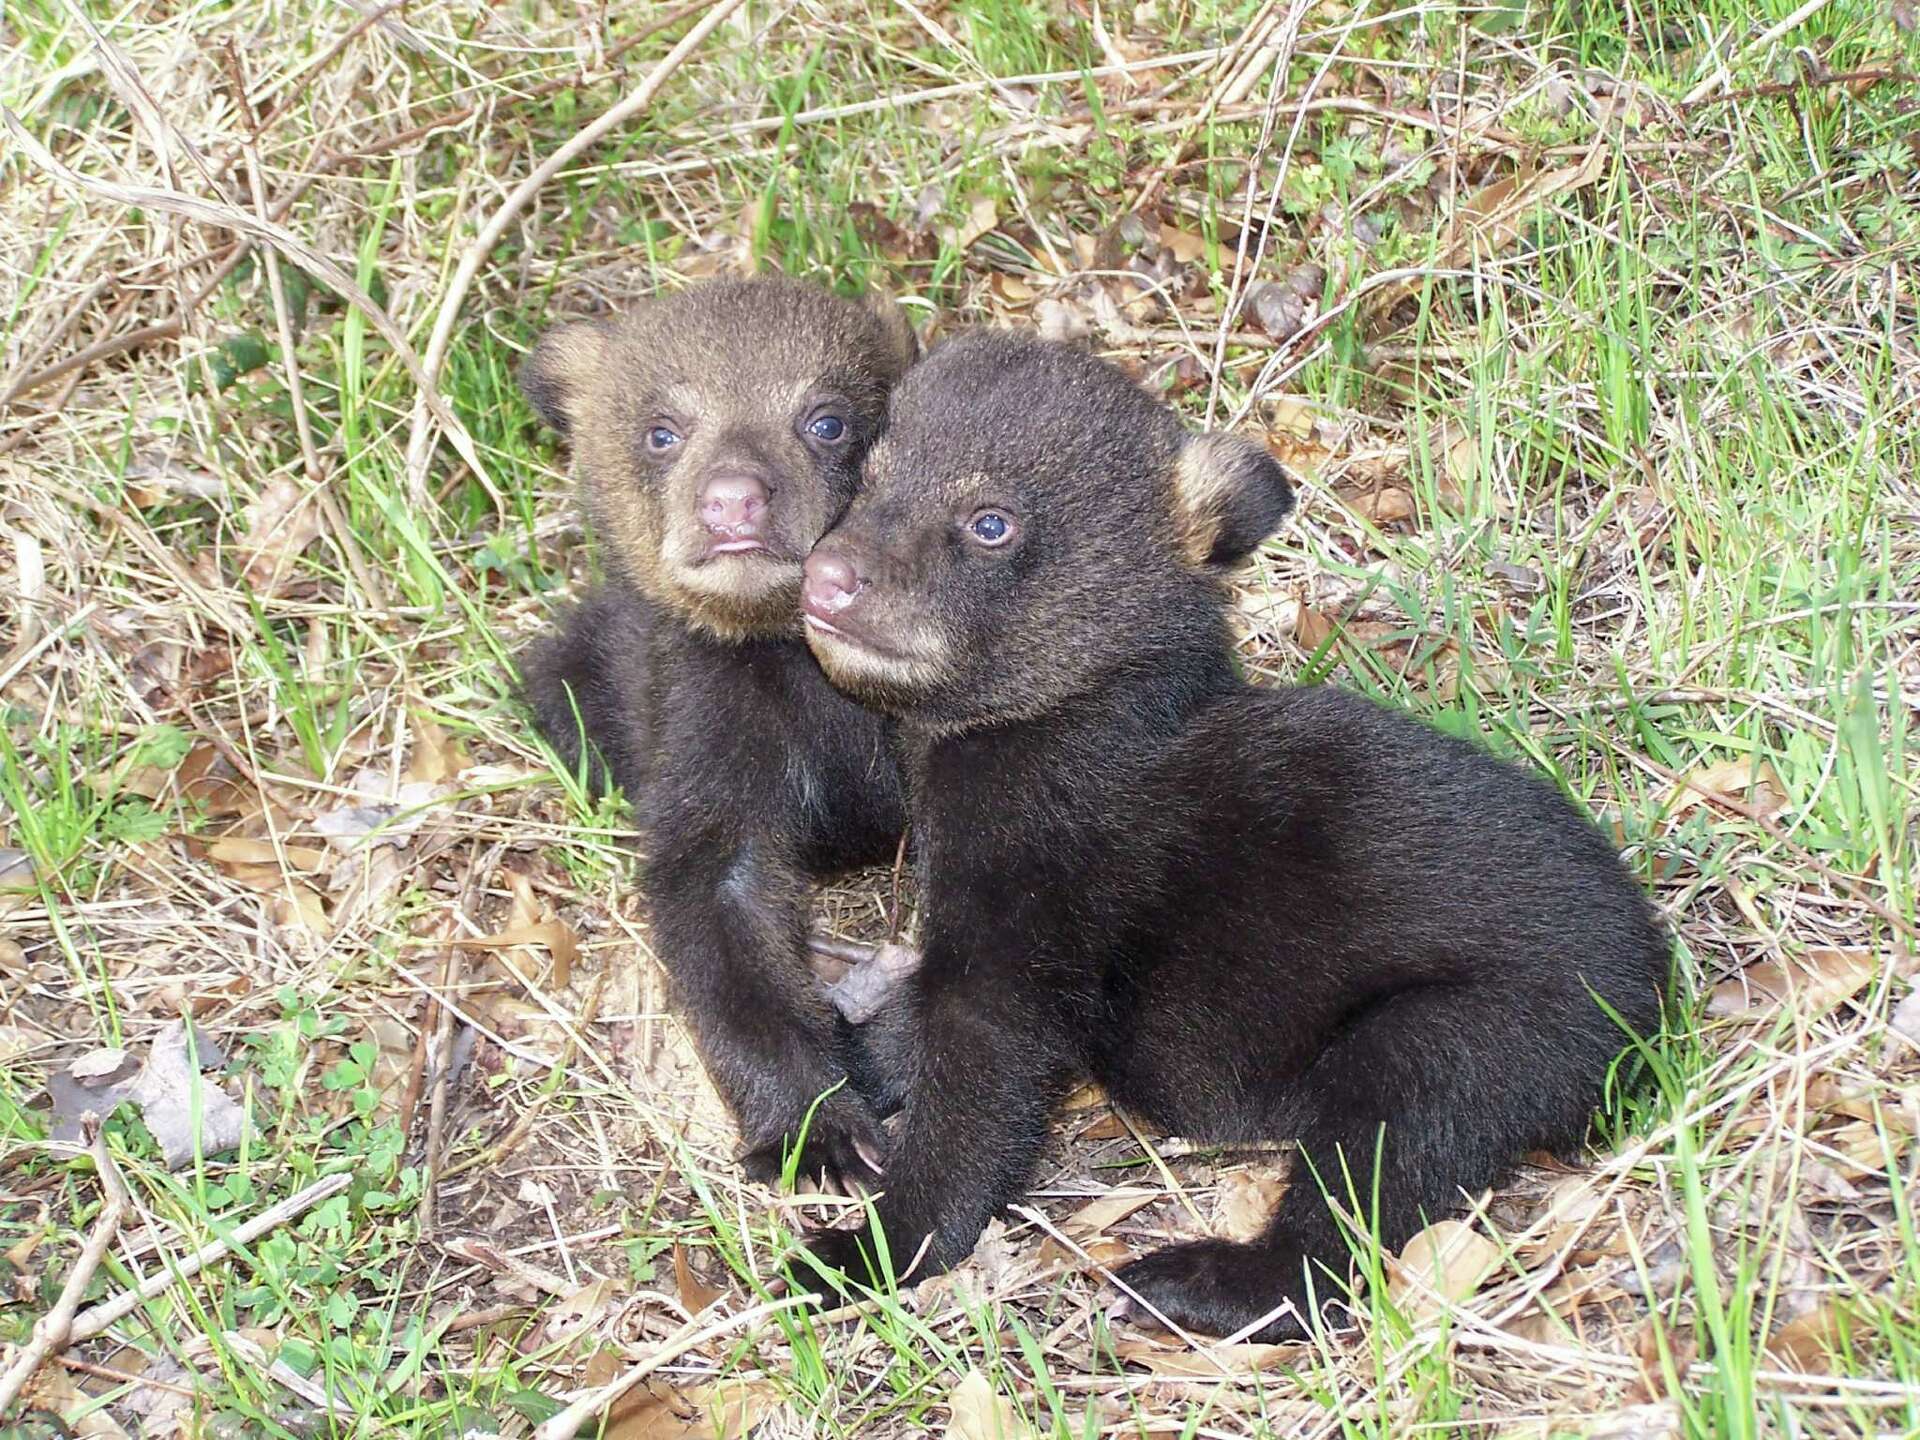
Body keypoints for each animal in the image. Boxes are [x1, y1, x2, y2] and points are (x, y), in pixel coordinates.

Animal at [517, 276, 918, 1190]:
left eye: (826, 419)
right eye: (663, 430)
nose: (734, 500)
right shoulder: (707, 716)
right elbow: (717, 907)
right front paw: (819, 1130)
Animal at [790, 329, 1670, 1340]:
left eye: (991, 522)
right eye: (869, 476)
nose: (827, 576)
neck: (1044, 727)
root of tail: (1651, 1002)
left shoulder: (1045, 879)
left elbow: (988, 1068)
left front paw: (863, 1251)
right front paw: (838, 1081)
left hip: (1472, 1030)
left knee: (1380, 1166)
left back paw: (1193, 1278)